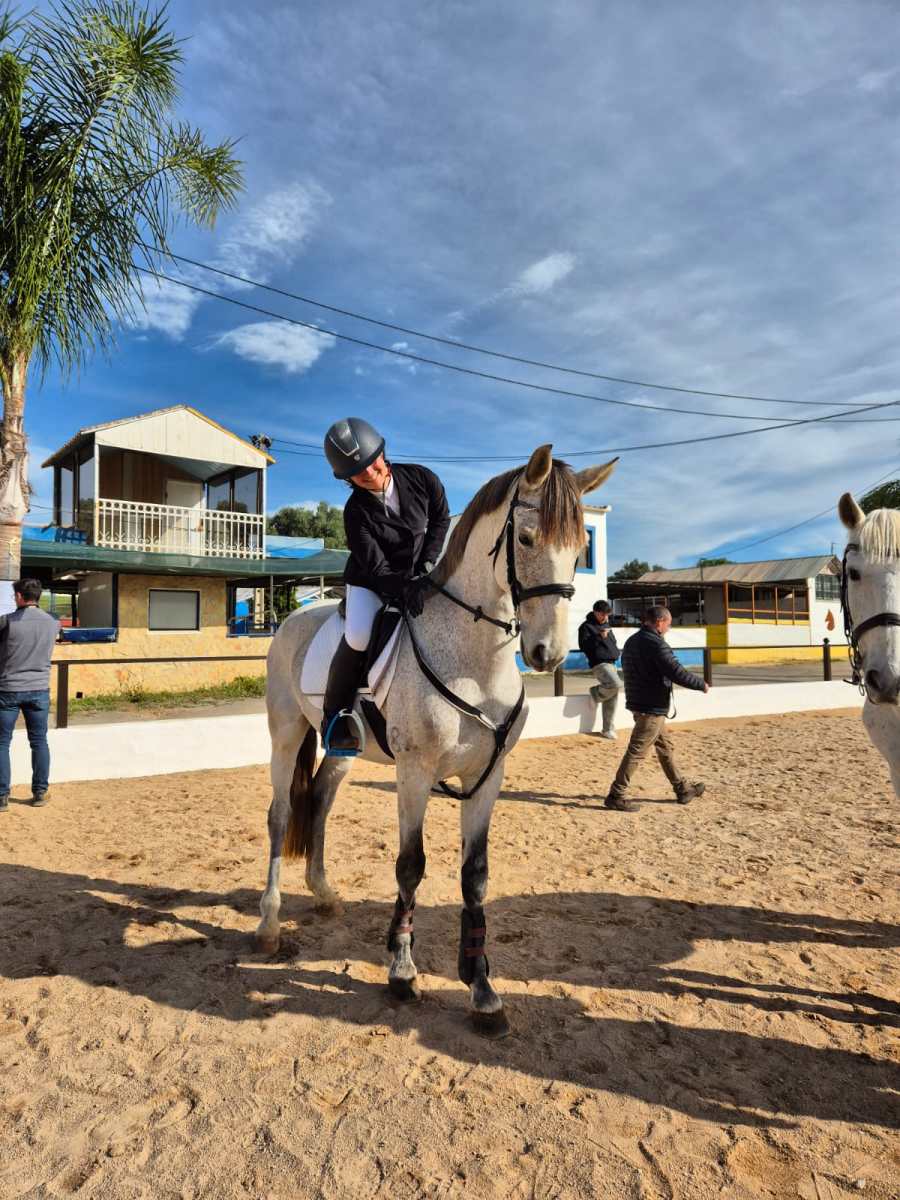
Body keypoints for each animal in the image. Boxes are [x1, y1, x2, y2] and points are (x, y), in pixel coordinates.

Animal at [256, 445, 616, 1035]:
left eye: (581, 548)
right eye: (526, 539)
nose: (548, 654)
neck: (476, 661)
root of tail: (292, 618)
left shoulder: (487, 778)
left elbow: (475, 876)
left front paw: (481, 989)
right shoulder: (415, 774)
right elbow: (411, 866)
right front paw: (402, 972)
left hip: (341, 750)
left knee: (321, 804)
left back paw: (325, 894)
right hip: (286, 732)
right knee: (282, 814)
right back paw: (268, 923)